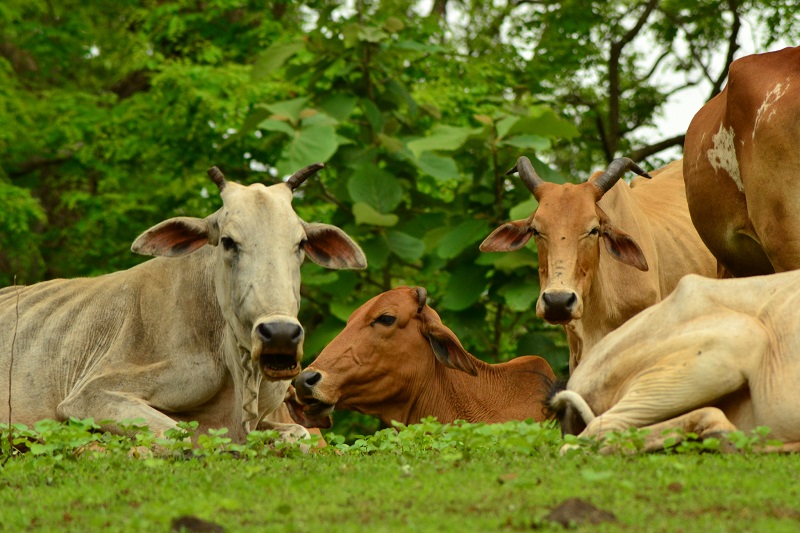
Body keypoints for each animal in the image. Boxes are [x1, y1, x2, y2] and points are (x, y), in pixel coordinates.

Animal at [0, 164, 366, 444]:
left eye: (300, 243)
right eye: (228, 241)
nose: (279, 334)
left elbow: (300, 437)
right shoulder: (89, 396)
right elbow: (180, 436)